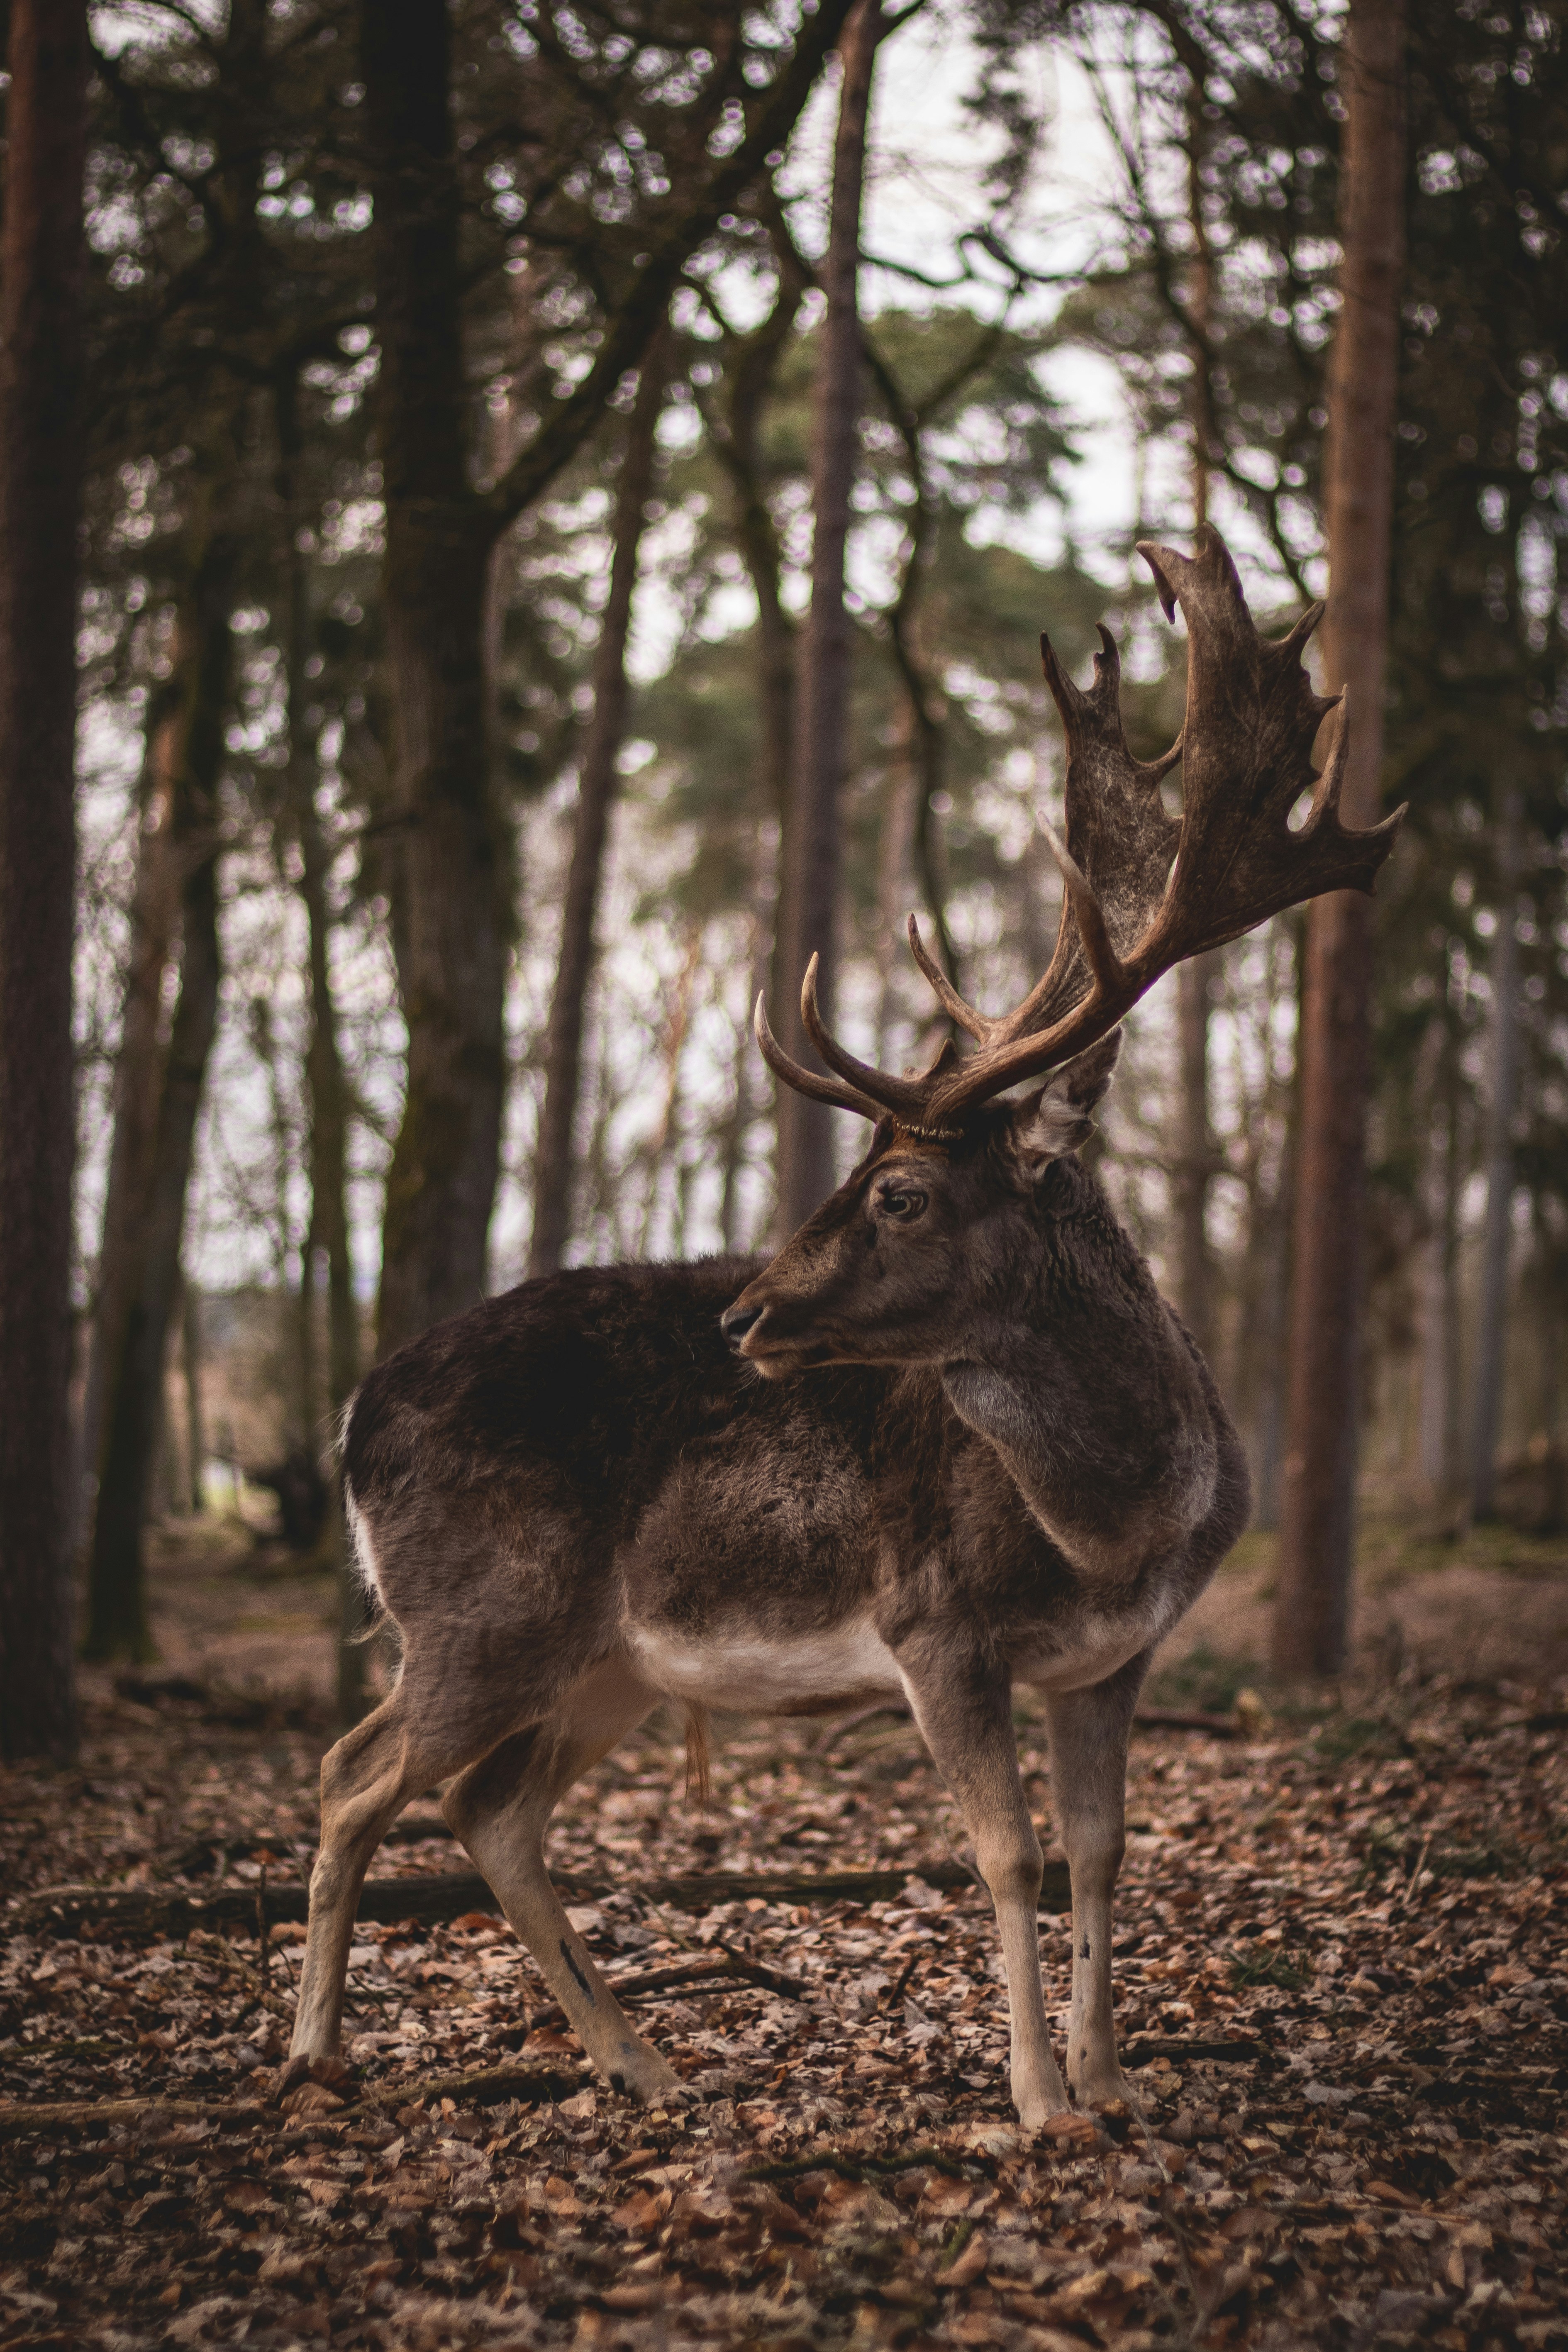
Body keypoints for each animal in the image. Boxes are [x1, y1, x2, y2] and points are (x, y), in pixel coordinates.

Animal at [280, 529, 1402, 2131]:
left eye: (901, 1190)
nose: (744, 1309)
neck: (1115, 1520)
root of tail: (352, 1411)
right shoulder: (931, 1623)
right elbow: (1005, 1851)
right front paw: (1037, 2099)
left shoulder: (1116, 1656)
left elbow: (1106, 1849)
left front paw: (1113, 2077)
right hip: (480, 1607)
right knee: (355, 1770)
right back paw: (316, 2045)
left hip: (609, 1656)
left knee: (489, 1807)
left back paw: (642, 2056)